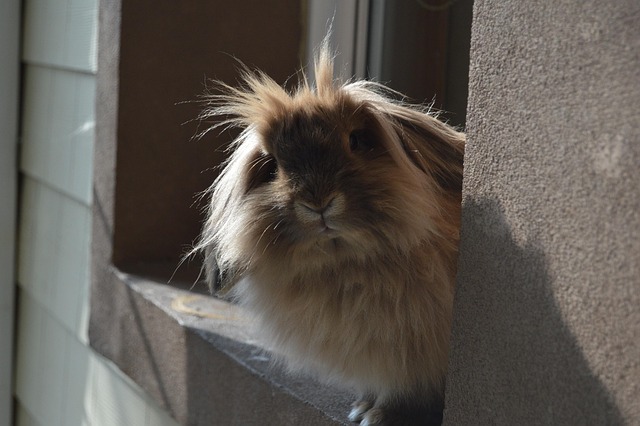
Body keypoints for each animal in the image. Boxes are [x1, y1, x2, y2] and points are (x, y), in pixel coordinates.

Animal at [195, 41, 465, 426]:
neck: (347, 263)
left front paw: (378, 416)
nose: (317, 201)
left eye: (357, 140)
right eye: (272, 166)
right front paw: (363, 408)